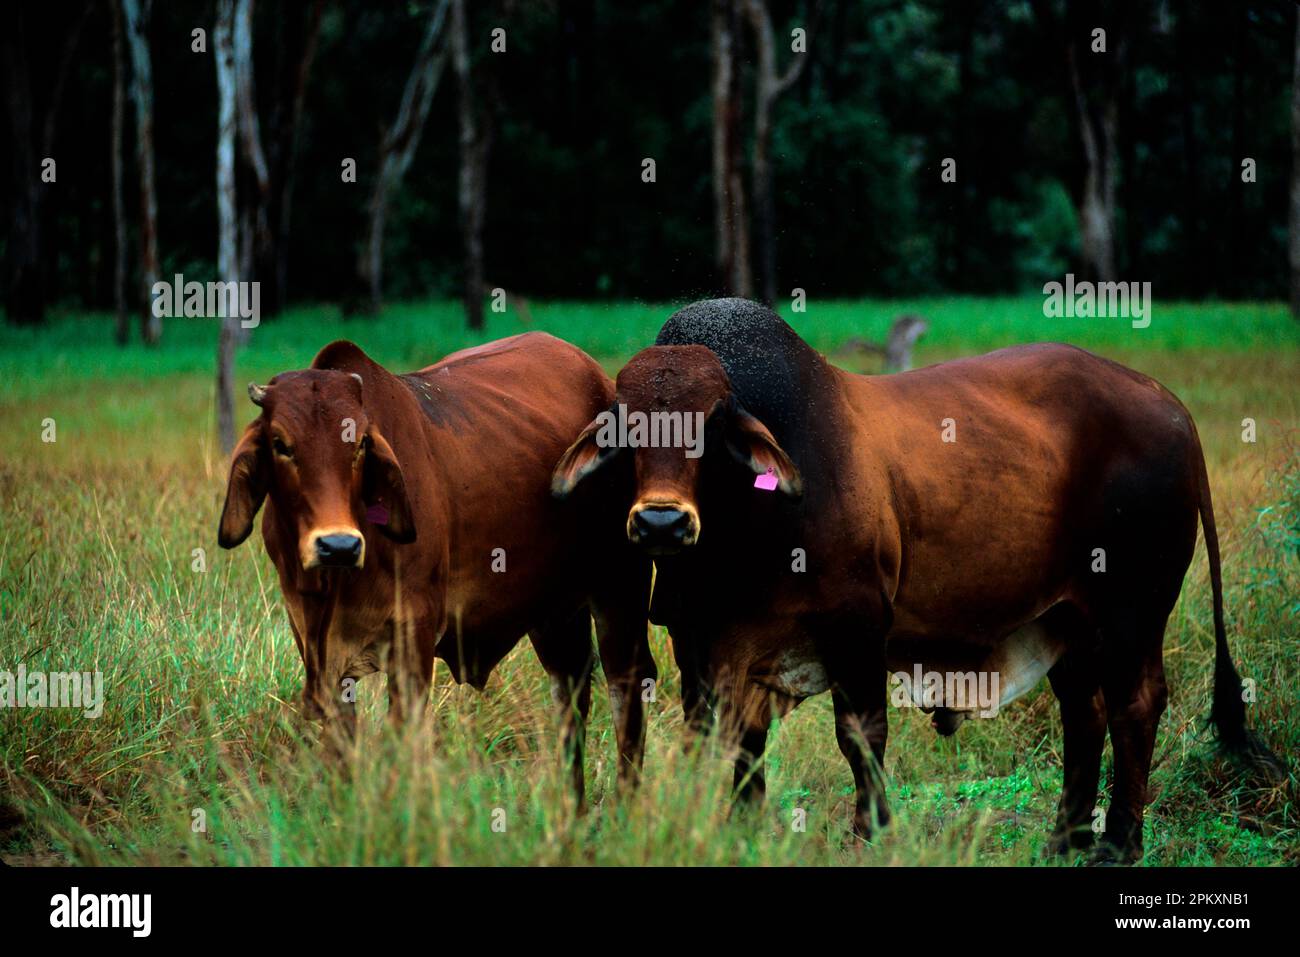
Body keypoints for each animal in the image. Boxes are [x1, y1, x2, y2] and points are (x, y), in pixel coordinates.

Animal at [218, 334, 655, 802]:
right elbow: (341, 751)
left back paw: (624, 805)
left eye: (359, 446)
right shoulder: (313, 644)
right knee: (570, 691)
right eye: (281, 444)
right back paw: (572, 807)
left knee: (625, 690)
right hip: (554, 615)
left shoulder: (415, 635)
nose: (338, 545)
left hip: (619, 590)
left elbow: (399, 741)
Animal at [551, 297, 1281, 862]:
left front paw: (871, 833)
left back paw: (1119, 842)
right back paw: (1064, 837)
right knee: (1085, 710)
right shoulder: (699, 643)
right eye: (627, 425)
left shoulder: (857, 624)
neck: (746, 528)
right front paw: (742, 831)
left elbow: (861, 735)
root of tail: (1170, 405)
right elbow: (736, 745)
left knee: (1137, 703)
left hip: (1133, 607)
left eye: (710, 424)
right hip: (1068, 617)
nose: (662, 522)